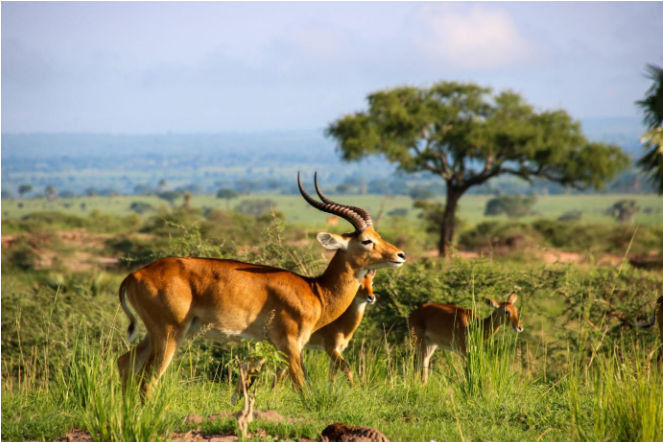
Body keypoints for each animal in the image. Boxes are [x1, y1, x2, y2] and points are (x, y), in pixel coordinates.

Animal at [117, 173, 406, 394]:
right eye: (367, 240)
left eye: (378, 234)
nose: (400, 255)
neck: (316, 291)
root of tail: (134, 275)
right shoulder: (290, 344)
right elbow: (303, 387)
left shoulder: (272, 346)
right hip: (169, 334)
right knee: (147, 380)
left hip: (154, 334)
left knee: (124, 363)